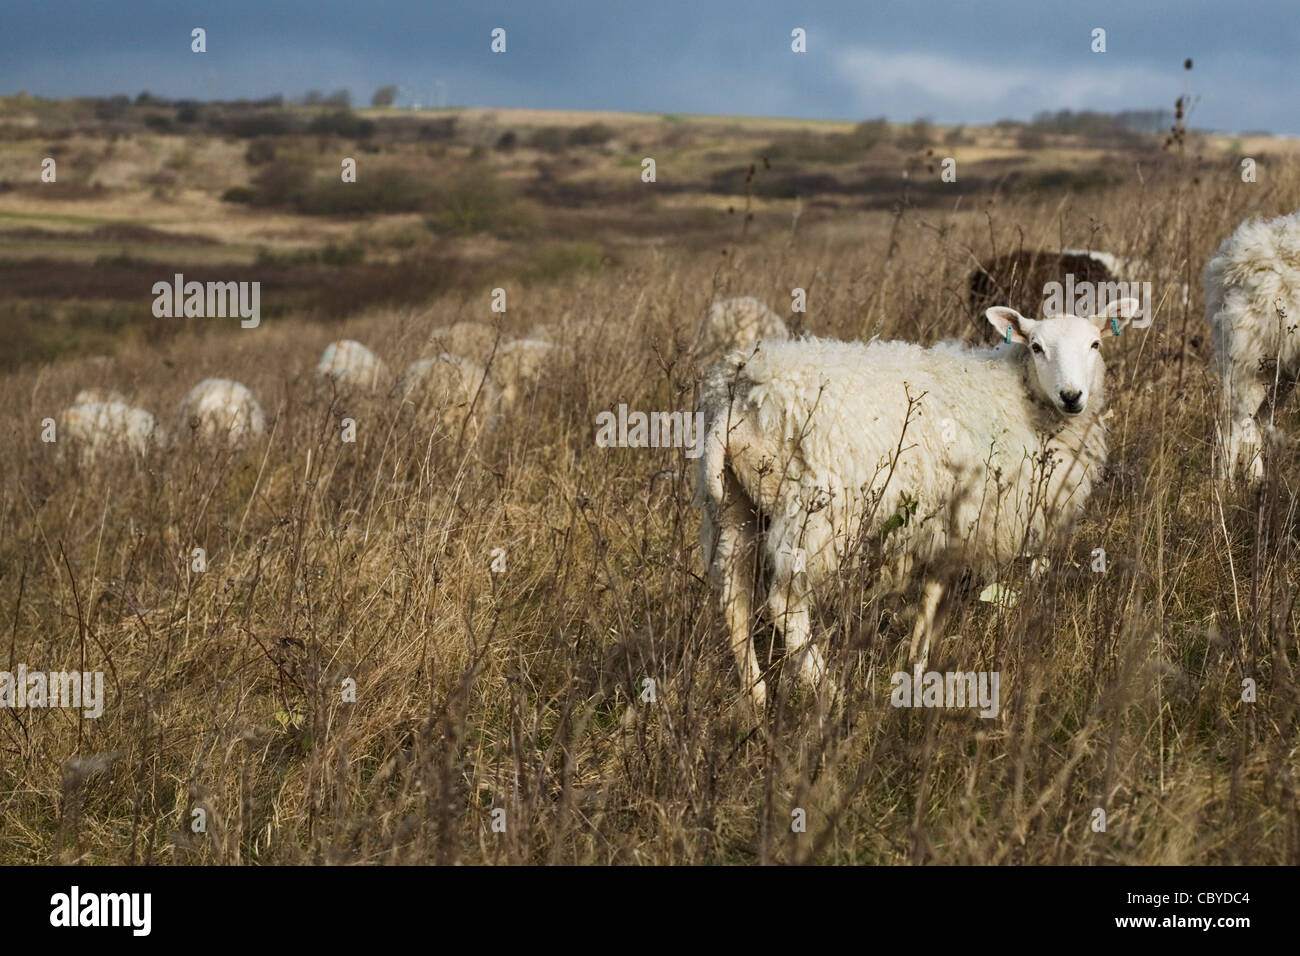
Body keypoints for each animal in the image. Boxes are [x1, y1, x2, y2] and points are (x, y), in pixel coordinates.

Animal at [697, 297, 1138, 712]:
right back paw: (830, 694)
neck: (1019, 394)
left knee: (734, 596)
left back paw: (755, 694)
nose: (1072, 396)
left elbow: (931, 597)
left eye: (1095, 344)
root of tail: (742, 394)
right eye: (1036, 346)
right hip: (817, 512)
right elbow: (941, 598)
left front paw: (918, 664)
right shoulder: (977, 516)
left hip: (732, 507)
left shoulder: (947, 525)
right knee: (785, 604)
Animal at [1203, 210, 1300, 481]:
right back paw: (1225, 486)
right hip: (1249, 365)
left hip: (1276, 373)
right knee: (1233, 427)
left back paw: (1255, 480)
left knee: (1253, 423)